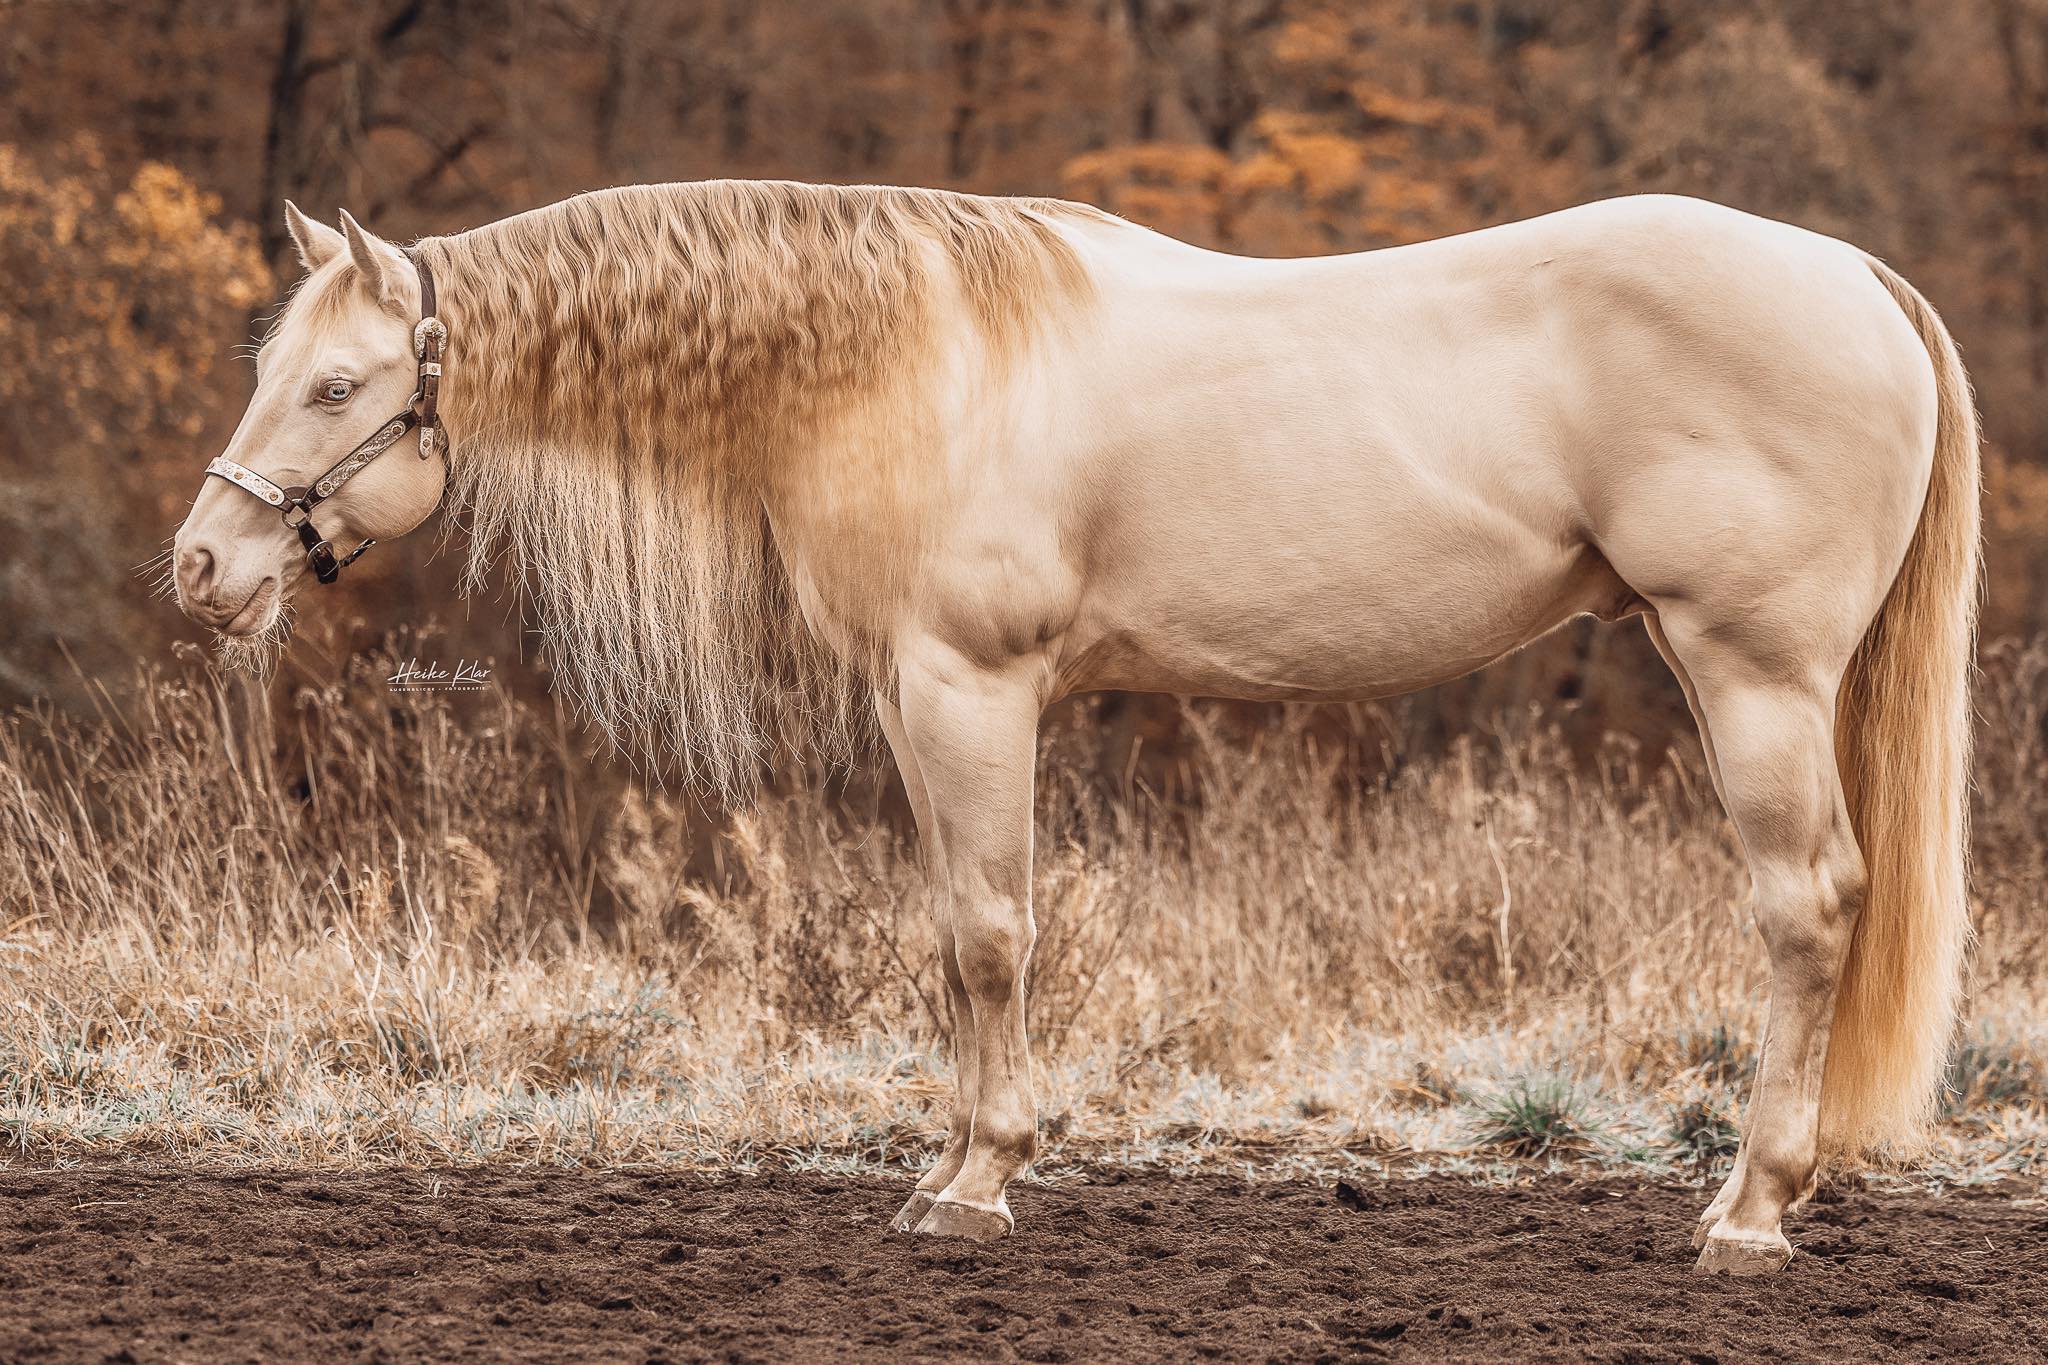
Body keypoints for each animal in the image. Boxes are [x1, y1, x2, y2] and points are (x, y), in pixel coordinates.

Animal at [171, 182, 1978, 1275]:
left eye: (335, 387)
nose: (203, 567)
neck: (904, 367)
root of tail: (1853, 276)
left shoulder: (971, 684)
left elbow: (989, 931)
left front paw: (979, 1182)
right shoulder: (916, 697)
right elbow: (947, 932)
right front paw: (938, 1172)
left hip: (1751, 675)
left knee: (1809, 909)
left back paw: (1747, 1212)